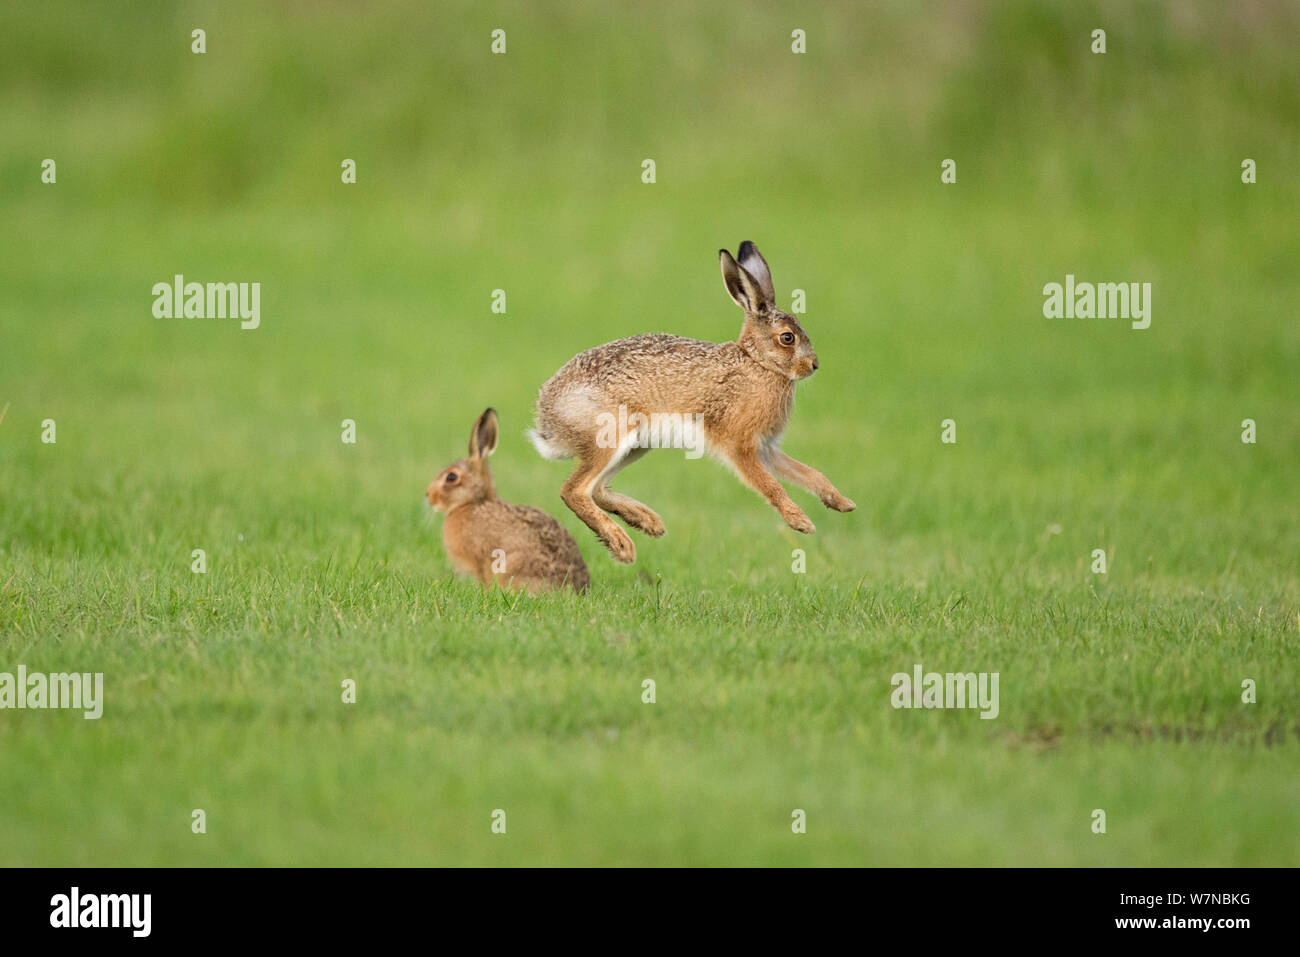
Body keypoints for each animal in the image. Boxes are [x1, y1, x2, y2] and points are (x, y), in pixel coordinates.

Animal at [529, 241, 855, 564]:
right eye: (787, 338)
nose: (813, 365)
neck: (758, 363)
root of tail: (547, 420)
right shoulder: (740, 446)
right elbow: (770, 485)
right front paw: (801, 522)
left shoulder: (766, 448)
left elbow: (809, 473)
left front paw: (843, 503)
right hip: (610, 436)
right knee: (574, 490)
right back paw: (623, 545)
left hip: (636, 445)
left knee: (596, 489)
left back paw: (648, 522)